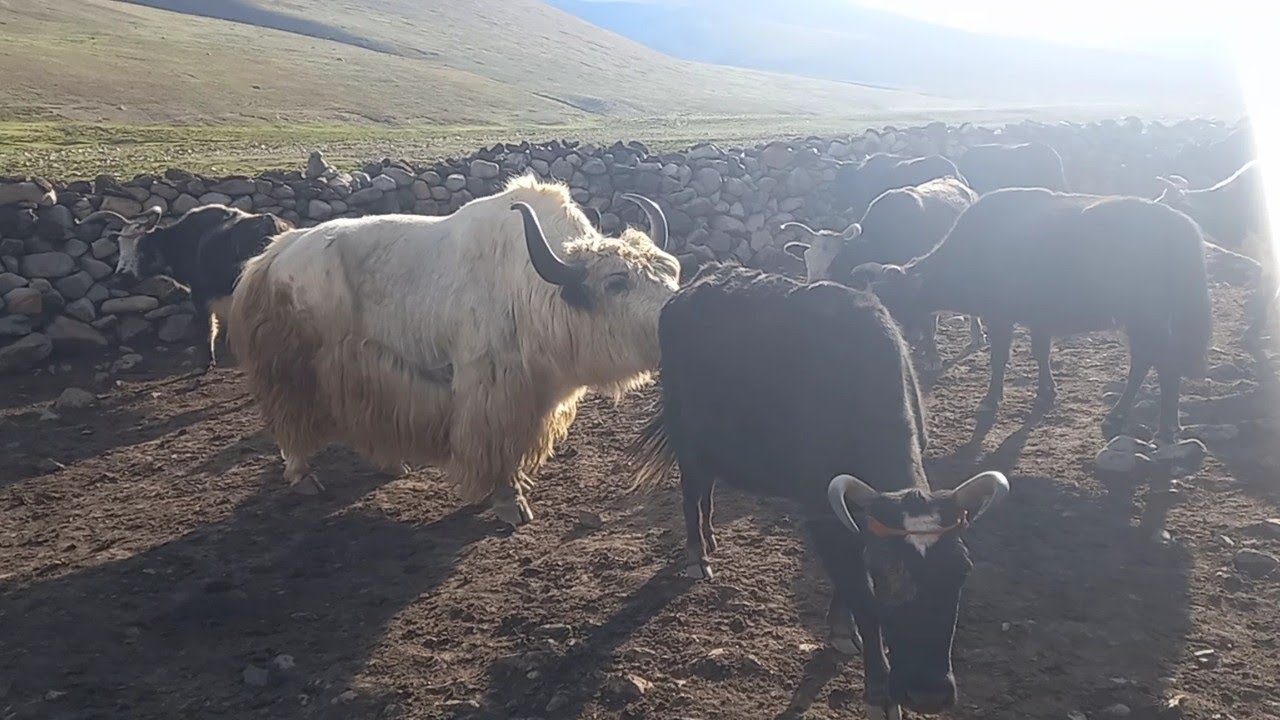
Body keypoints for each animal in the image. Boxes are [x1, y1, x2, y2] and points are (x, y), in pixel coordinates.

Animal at [112, 204, 292, 373]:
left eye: (142, 244)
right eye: (120, 244)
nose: (120, 277)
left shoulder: (200, 295)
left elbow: (208, 328)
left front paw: (209, 361)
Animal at [228, 175, 679, 527]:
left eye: (669, 269)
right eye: (617, 283)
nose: (678, 313)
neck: (535, 288)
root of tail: (272, 255)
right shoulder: (490, 393)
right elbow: (495, 446)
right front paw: (509, 501)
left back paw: (393, 462)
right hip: (291, 366)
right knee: (290, 419)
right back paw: (304, 476)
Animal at [628, 263, 1008, 719]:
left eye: (962, 570)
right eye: (885, 572)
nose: (928, 693)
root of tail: (694, 286)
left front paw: (841, 630)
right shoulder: (822, 515)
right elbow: (859, 595)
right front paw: (878, 689)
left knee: (706, 491)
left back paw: (712, 538)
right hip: (688, 440)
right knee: (690, 492)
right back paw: (697, 556)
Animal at [853, 188, 1212, 445]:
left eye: (897, 303)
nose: (903, 341)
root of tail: (1183, 227)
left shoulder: (1001, 317)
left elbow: (999, 359)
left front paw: (990, 400)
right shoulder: (1039, 321)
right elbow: (1041, 353)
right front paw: (1046, 391)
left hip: (1147, 320)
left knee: (1164, 366)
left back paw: (1163, 428)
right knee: (1146, 362)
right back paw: (1123, 416)